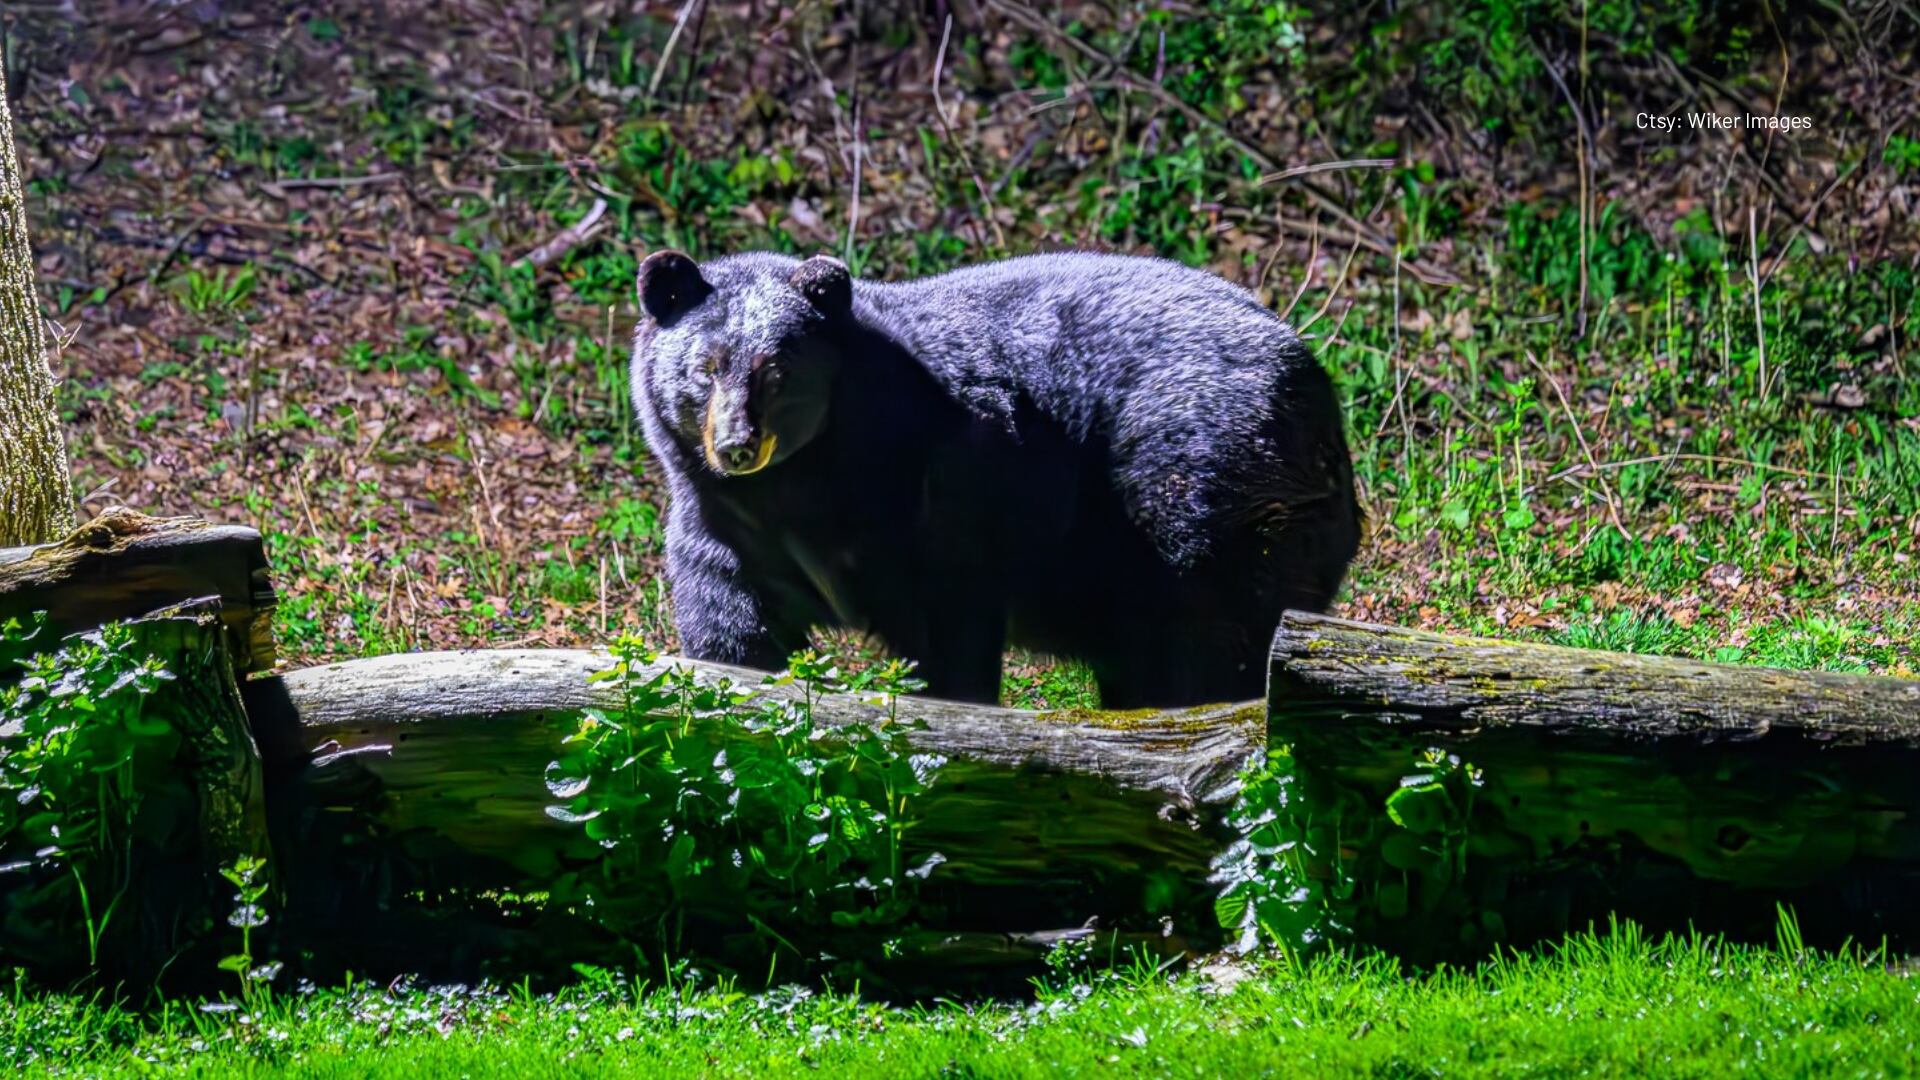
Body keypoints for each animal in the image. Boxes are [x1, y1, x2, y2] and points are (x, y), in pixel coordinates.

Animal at [630, 249, 1361, 707]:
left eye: (776, 373)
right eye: (706, 367)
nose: (737, 446)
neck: (801, 483)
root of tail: (1318, 397)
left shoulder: (941, 489)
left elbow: (949, 622)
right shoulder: (724, 523)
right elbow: (731, 625)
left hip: (1202, 493)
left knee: (1203, 648)